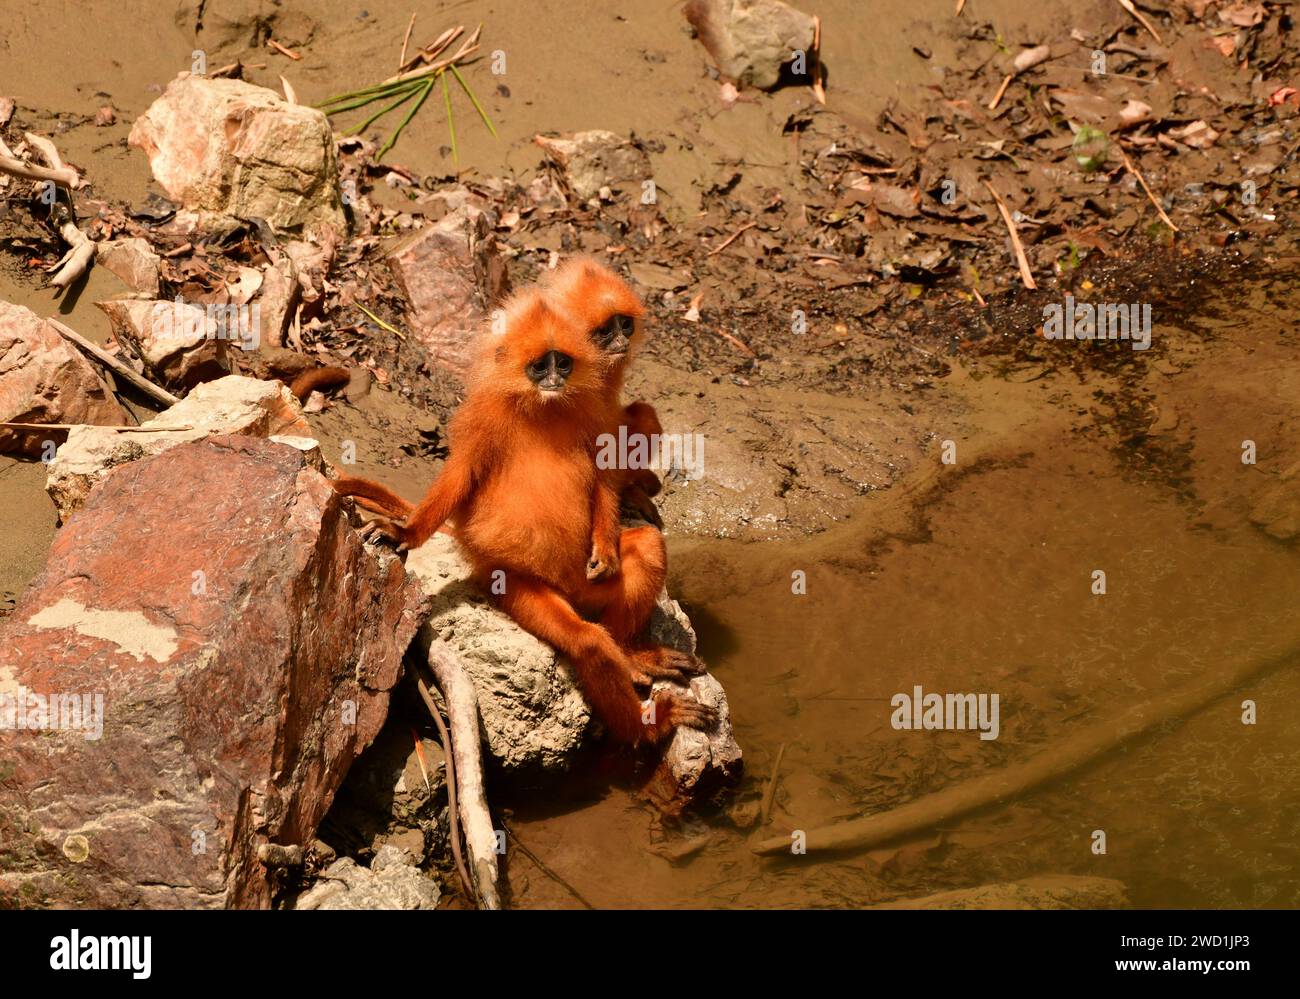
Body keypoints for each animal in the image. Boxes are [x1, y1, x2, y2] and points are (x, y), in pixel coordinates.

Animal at [333, 290, 715, 746]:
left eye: (562, 363)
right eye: (539, 366)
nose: (554, 379)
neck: (542, 409)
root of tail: (569, 589)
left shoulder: (589, 411)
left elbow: (604, 476)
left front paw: (607, 550)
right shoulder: (484, 415)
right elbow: (460, 476)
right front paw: (404, 531)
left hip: (586, 586)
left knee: (647, 546)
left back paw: (631, 653)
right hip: (519, 588)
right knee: (589, 642)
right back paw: (650, 725)